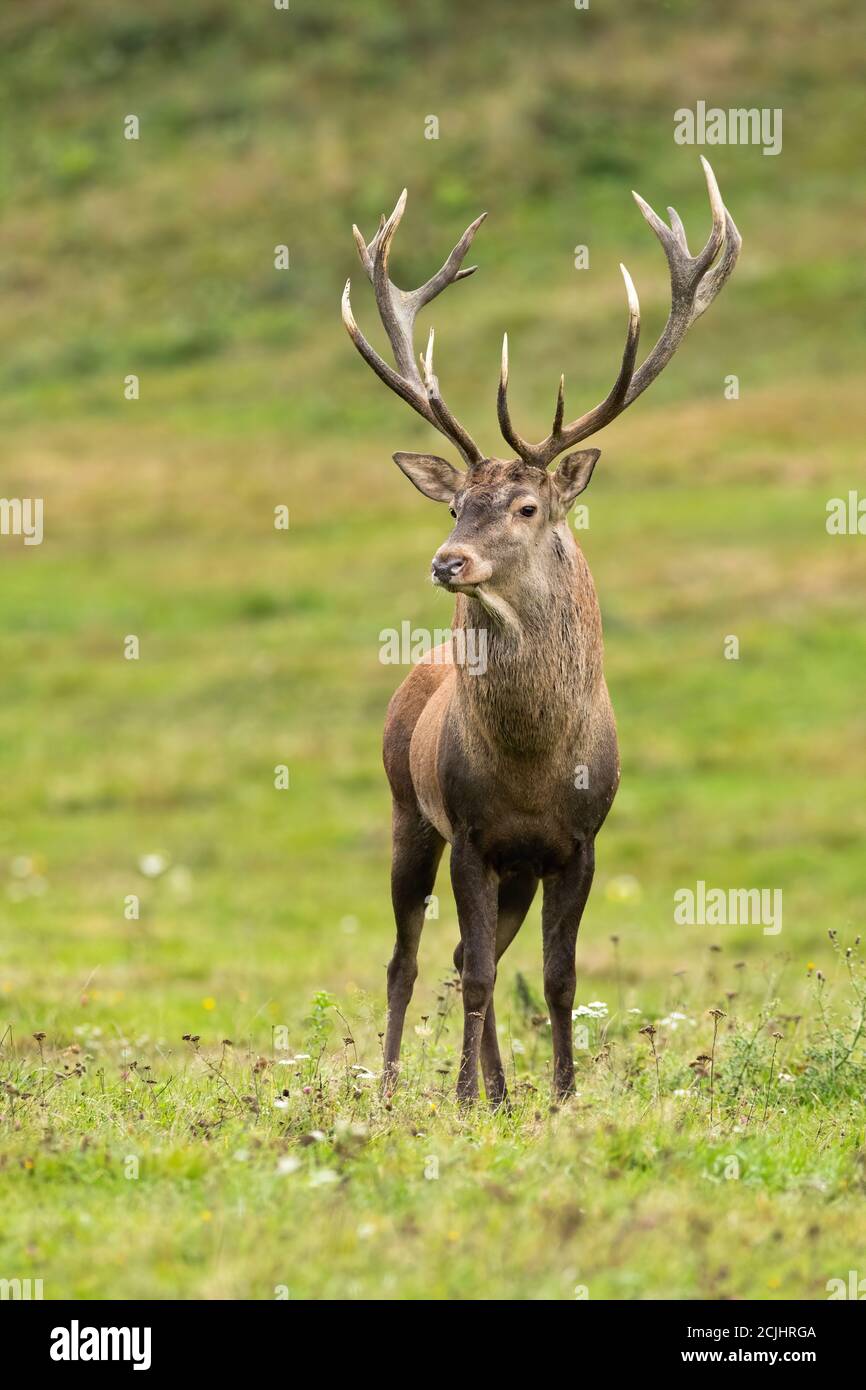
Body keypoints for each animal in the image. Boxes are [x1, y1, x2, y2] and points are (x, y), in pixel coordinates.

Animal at [342, 158, 740, 1105]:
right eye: (453, 502)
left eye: (526, 506)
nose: (447, 561)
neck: (529, 763)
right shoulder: (470, 835)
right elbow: (481, 973)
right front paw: (460, 1098)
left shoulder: (578, 842)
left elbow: (557, 977)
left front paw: (558, 1093)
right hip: (408, 813)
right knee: (412, 959)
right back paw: (397, 1086)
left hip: (512, 869)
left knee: (458, 952)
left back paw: (500, 1087)